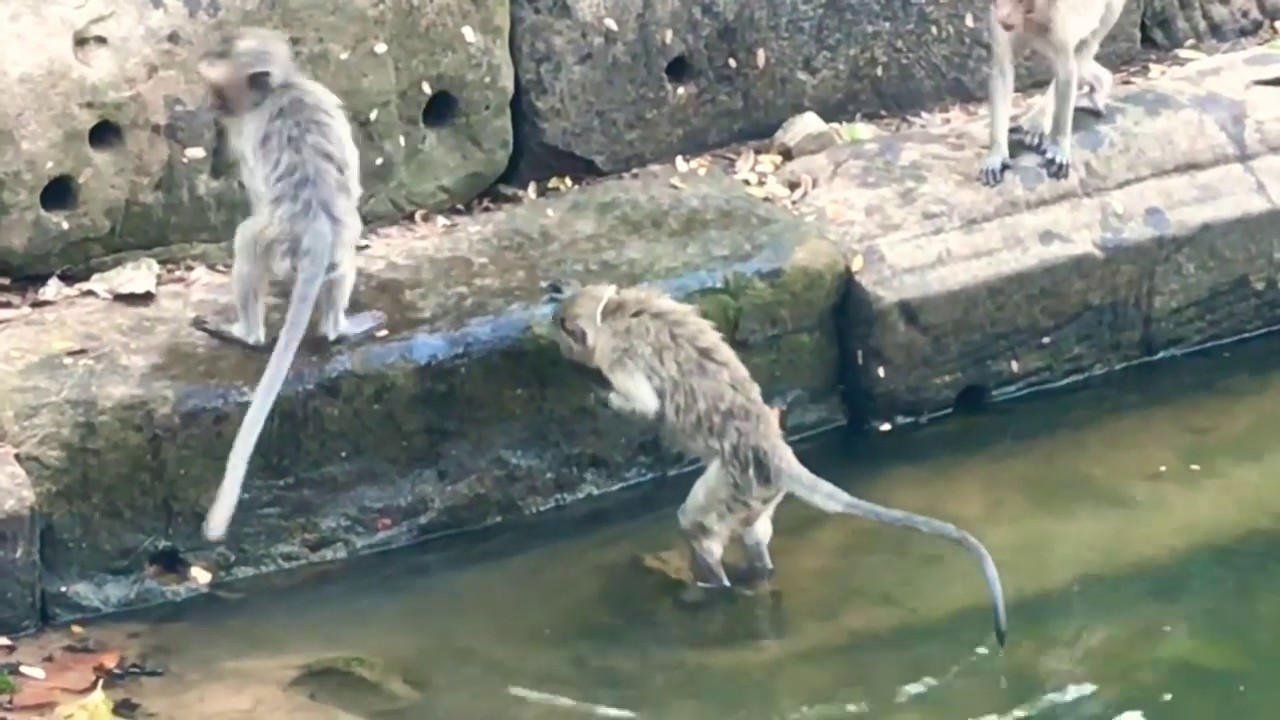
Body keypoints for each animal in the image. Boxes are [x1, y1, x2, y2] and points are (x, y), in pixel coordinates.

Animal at [192, 27, 387, 542]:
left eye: (222, 93)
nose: (214, 108)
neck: (280, 88)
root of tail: (315, 224)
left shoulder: (247, 128)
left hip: (271, 238)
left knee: (246, 239)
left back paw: (243, 332)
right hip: (341, 242)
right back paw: (341, 326)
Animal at [548, 283, 1009, 647]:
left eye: (563, 326)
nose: (554, 329)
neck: (614, 310)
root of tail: (775, 451)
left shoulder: (620, 357)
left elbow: (644, 404)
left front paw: (603, 395)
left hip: (736, 481)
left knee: (698, 526)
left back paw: (710, 587)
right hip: (761, 493)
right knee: (754, 534)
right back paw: (756, 575)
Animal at [980, 0, 1127, 187]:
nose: (1004, 16)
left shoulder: (1059, 20)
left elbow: (1066, 70)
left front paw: (1058, 147)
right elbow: (1002, 70)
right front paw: (996, 155)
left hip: (1112, 8)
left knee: (1085, 48)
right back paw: (1100, 85)